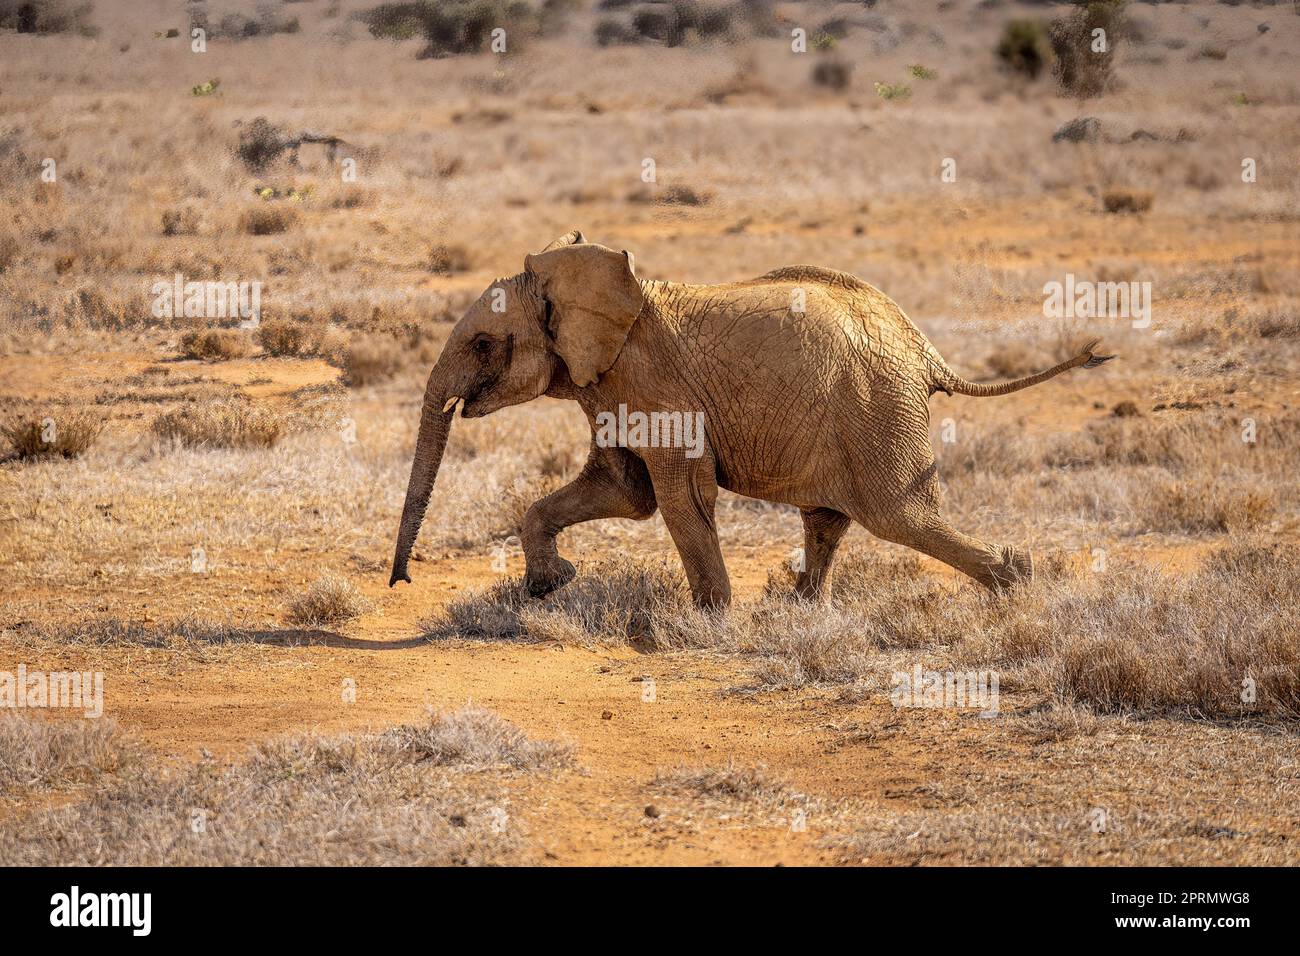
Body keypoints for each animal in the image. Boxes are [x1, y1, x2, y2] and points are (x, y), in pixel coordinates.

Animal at [390, 231, 1113, 608]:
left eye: (484, 344)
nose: (401, 581)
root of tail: (924, 351)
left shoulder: (656, 388)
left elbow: (678, 498)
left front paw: (710, 618)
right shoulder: (612, 388)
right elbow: (623, 492)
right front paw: (550, 586)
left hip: (878, 407)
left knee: (902, 518)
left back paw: (1018, 587)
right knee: (828, 520)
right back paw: (801, 607)